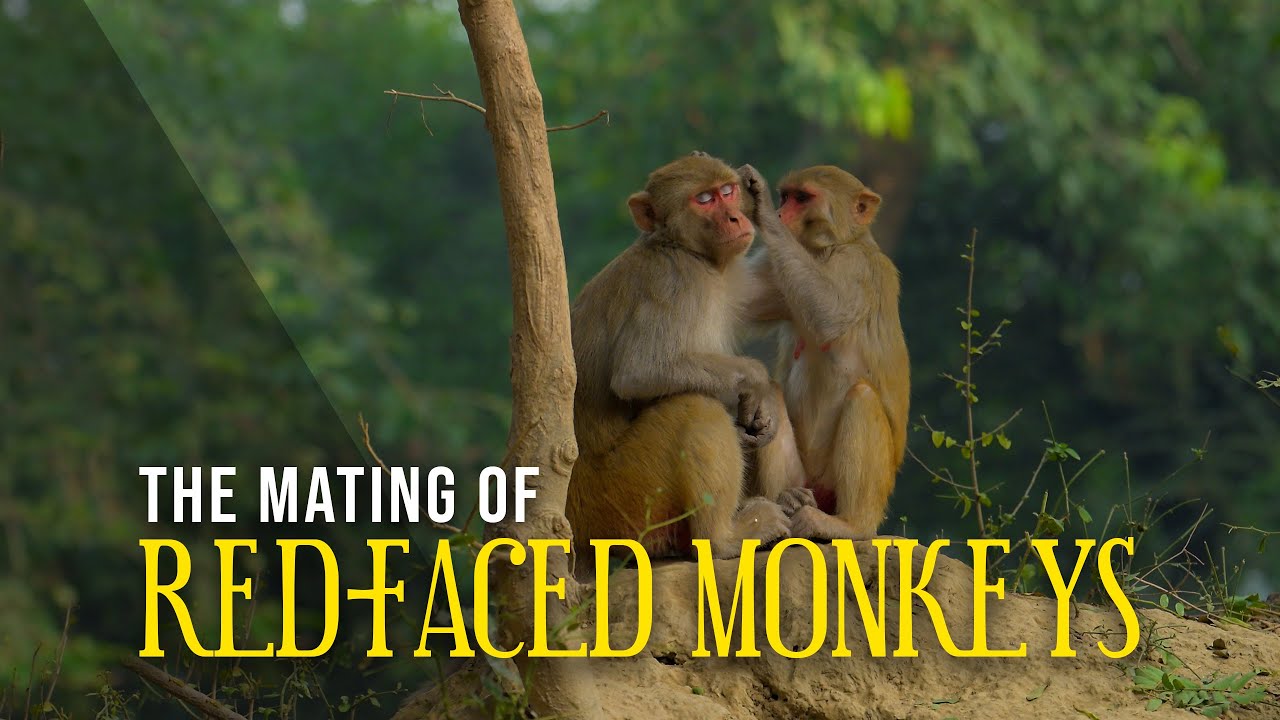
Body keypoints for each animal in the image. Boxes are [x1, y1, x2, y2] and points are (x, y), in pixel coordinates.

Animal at [564, 152, 791, 562]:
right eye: (703, 200)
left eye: (726, 191)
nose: (735, 218)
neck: (681, 248)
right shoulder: (675, 281)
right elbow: (640, 372)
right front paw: (756, 380)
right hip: (623, 497)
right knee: (694, 407)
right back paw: (724, 538)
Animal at [738, 164, 910, 540]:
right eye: (787, 196)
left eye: (802, 198)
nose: (781, 214)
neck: (824, 252)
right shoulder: (776, 271)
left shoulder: (857, 267)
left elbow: (828, 314)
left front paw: (761, 208)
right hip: (805, 479)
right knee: (772, 392)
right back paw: (785, 502)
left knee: (862, 398)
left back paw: (848, 525)